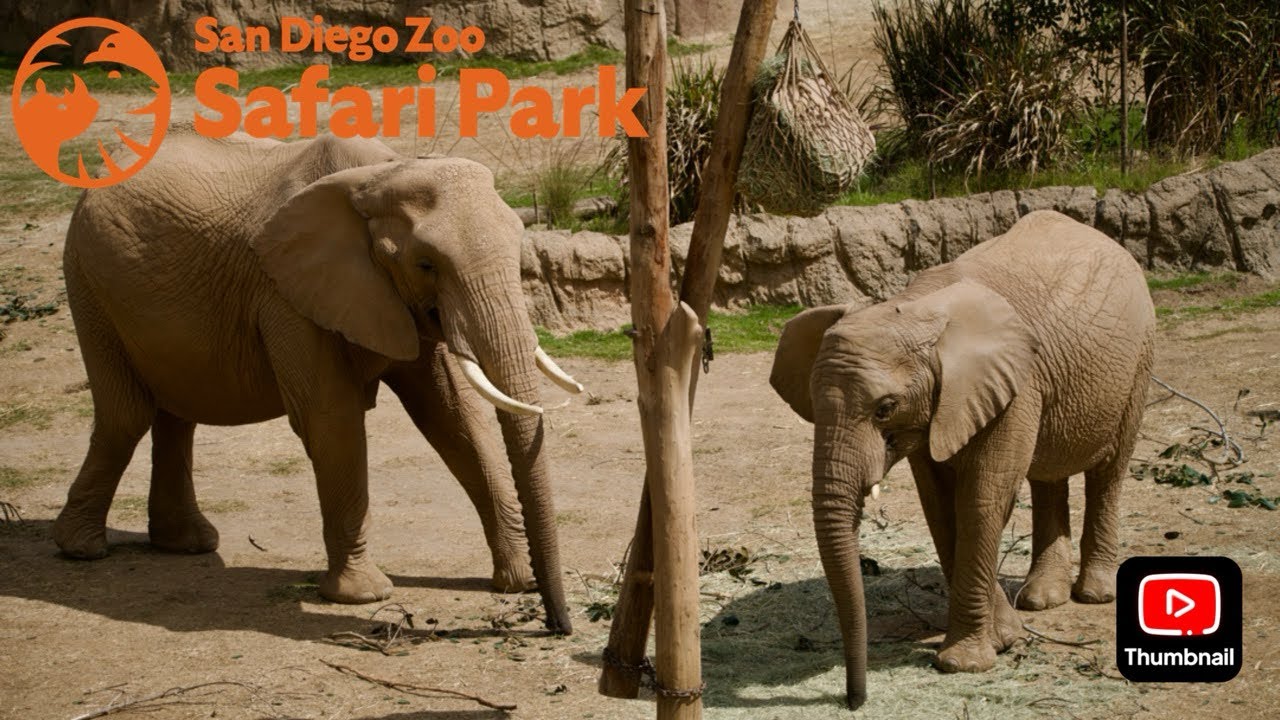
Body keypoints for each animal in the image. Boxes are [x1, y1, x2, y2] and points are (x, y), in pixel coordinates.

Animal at [52, 128, 583, 633]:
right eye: (426, 264)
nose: (556, 625)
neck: (380, 175)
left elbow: (452, 416)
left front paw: (517, 580)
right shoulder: (285, 291)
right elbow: (332, 416)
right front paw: (364, 595)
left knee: (177, 411)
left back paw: (187, 544)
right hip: (87, 281)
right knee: (127, 415)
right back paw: (81, 549)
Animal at [770, 210, 1155, 708]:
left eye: (885, 408)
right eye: (814, 408)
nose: (854, 700)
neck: (916, 307)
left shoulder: (1014, 386)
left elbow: (980, 502)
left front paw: (964, 663)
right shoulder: (941, 410)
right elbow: (940, 508)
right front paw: (1005, 638)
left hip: (1140, 358)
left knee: (1109, 471)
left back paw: (1094, 594)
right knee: (1047, 474)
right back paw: (1041, 600)